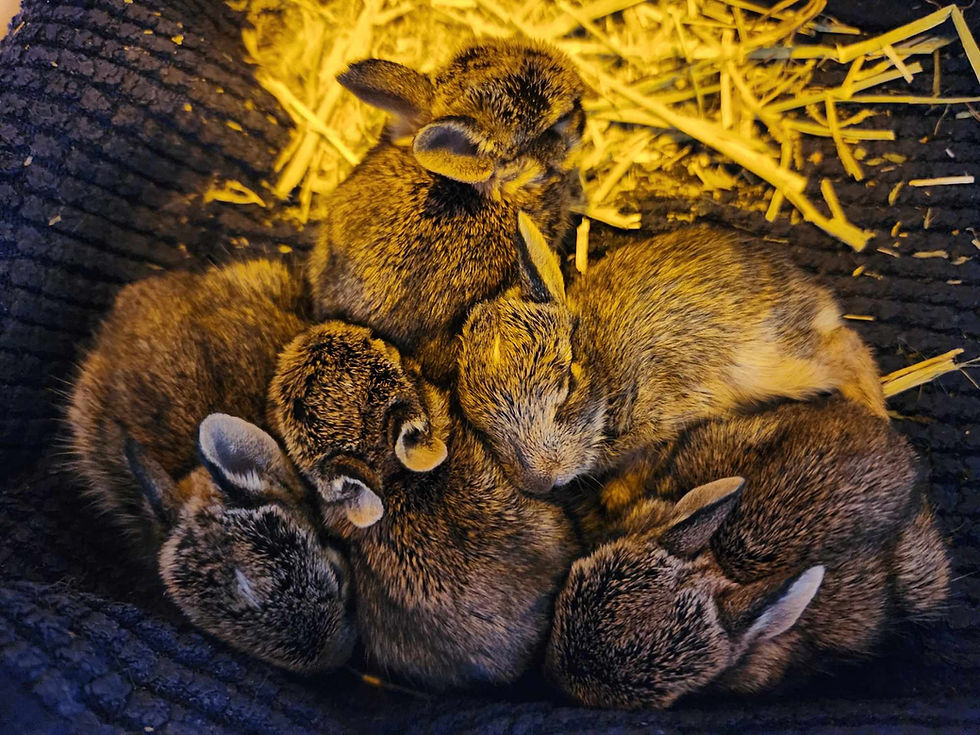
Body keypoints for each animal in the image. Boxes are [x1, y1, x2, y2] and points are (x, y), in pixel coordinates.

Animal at [456, 216, 889, 495]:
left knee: (847, 347)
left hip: (775, 359)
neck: (603, 360)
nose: (541, 482)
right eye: (481, 426)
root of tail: (811, 294)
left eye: (567, 388)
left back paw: (875, 412)